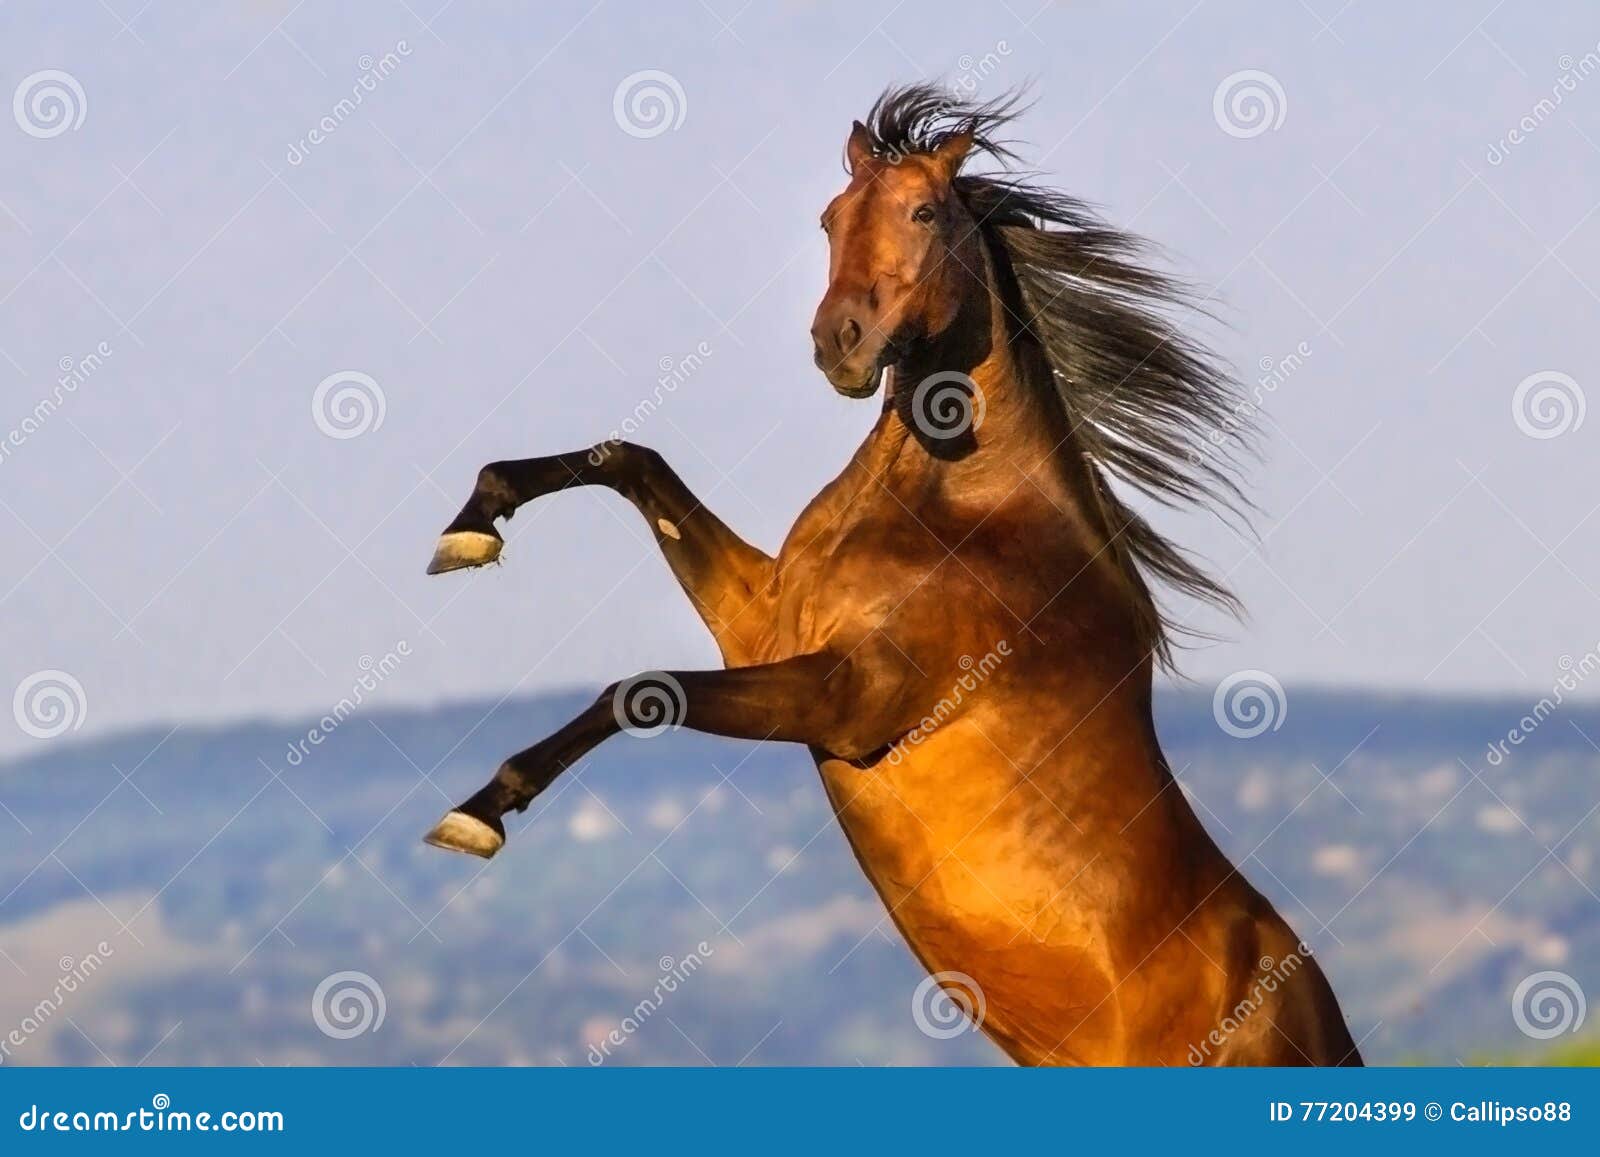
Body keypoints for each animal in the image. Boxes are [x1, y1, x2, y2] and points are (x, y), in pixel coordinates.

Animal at [419, 85, 1361, 1067]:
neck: (964, 516)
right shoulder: (763, 626)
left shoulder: (852, 694)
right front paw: (471, 526)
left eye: (924, 212)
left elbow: (637, 691)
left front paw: (480, 812)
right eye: (831, 217)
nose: (840, 342)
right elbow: (628, 458)